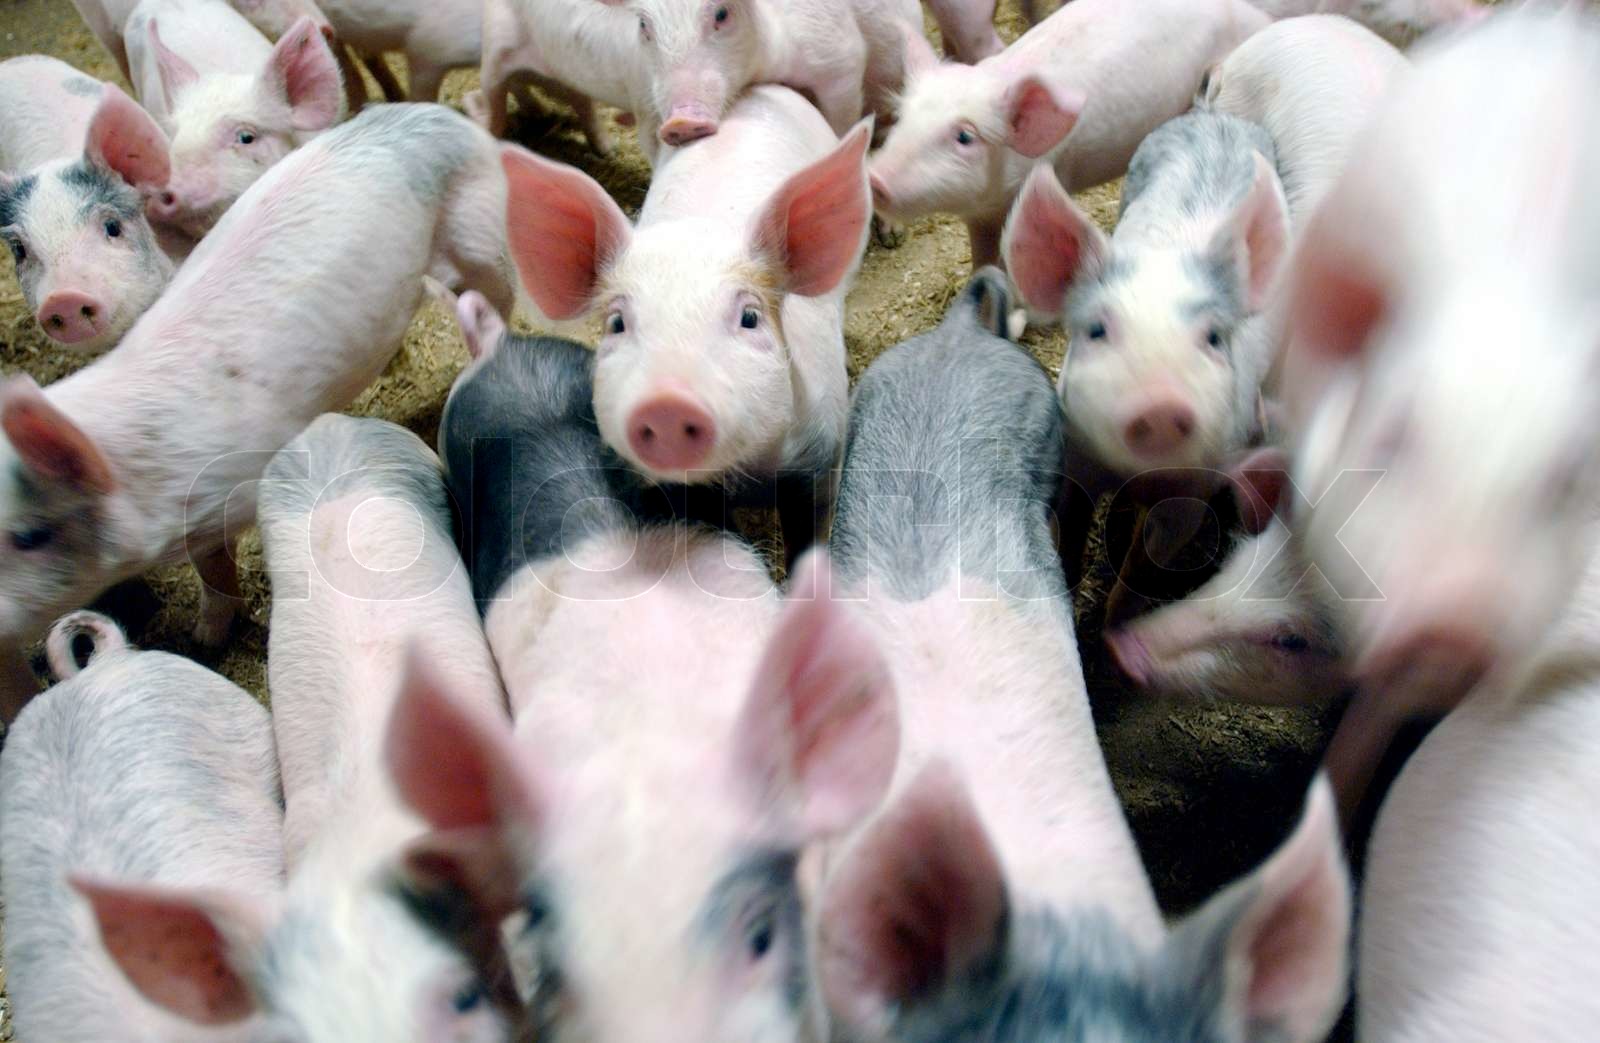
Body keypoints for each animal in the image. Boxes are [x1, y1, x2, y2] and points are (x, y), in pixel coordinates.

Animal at [0, 102, 514, 722]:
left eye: (29, 536)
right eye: (18, 248)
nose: (62, 302)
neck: (141, 459)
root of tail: (440, 114)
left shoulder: (231, 488)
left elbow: (220, 570)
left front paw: (204, 640)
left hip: (483, 240)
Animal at [500, 86, 871, 560]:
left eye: (750, 317)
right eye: (616, 323)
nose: (667, 401)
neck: (750, 475)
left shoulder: (822, 459)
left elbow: (811, 535)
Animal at [1003, 111, 1290, 602]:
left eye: (1214, 337)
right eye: (1096, 330)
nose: (1159, 405)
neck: (1133, 476)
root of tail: (1215, 116)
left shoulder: (1194, 489)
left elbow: (1141, 568)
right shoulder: (1076, 455)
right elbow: (1068, 537)